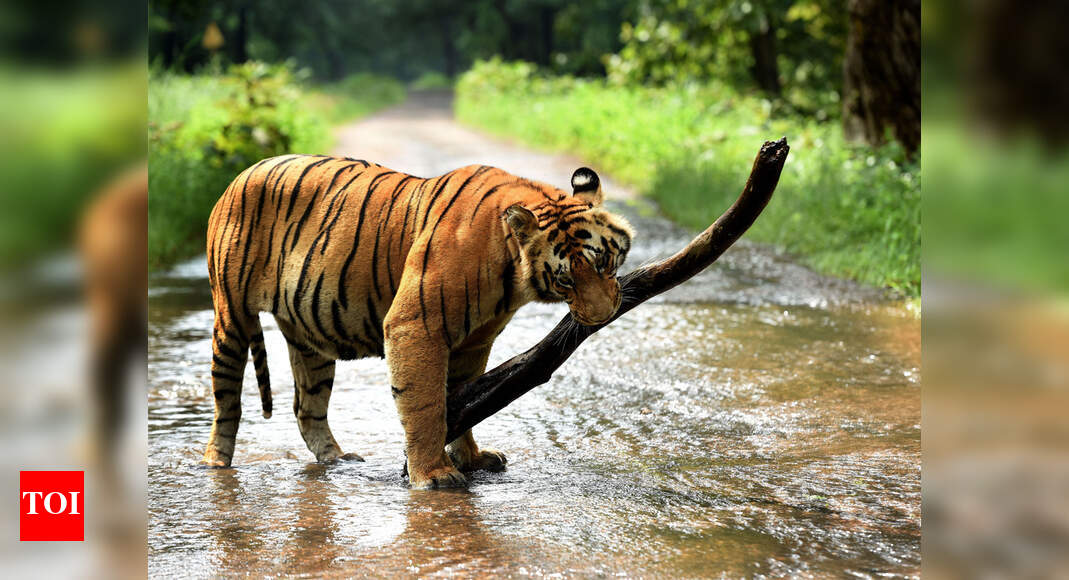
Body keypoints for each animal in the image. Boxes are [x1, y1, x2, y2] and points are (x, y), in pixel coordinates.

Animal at [202, 154, 634, 488]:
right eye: (565, 279)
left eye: (603, 262)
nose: (601, 317)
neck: (510, 268)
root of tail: (240, 174)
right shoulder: (416, 324)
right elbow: (427, 404)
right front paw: (433, 474)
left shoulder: (474, 341)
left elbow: (464, 399)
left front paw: (471, 459)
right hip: (231, 318)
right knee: (227, 400)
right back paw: (215, 461)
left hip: (310, 341)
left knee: (308, 408)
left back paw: (337, 459)